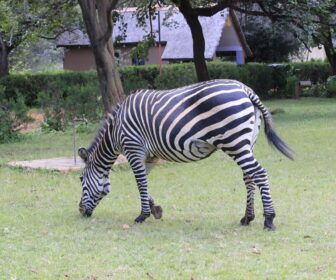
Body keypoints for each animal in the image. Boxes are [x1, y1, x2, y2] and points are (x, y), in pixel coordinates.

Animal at [77, 79, 292, 230]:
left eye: (80, 180)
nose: (80, 211)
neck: (115, 131)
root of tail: (247, 90)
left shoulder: (133, 148)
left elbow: (140, 182)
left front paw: (142, 215)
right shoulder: (149, 156)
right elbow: (143, 181)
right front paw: (155, 210)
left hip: (235, 142)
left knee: (259, 173)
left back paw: (269, 219)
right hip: (247, 143)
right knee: (249, 177)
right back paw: (247, 217)